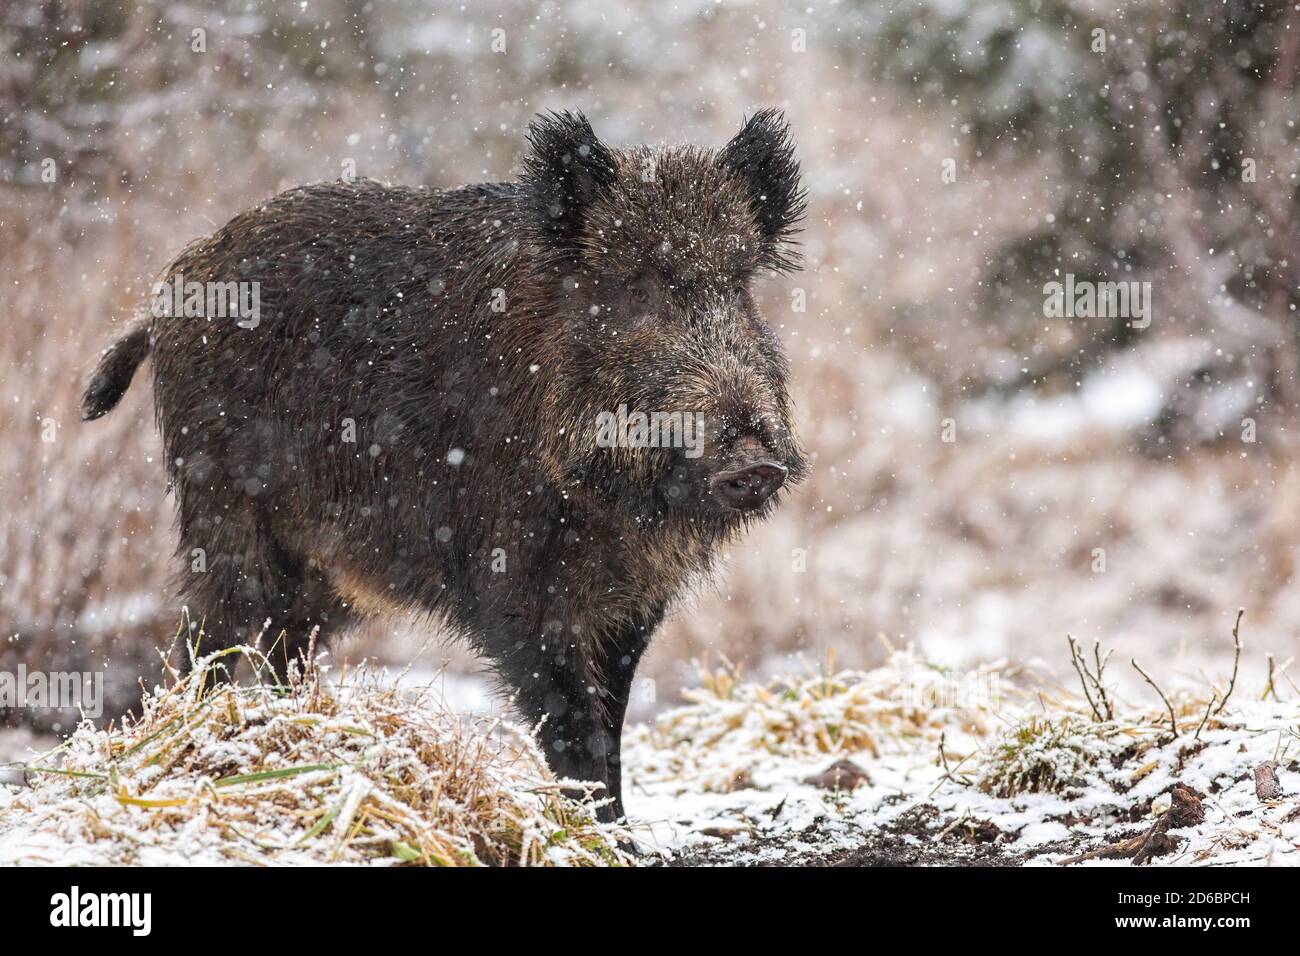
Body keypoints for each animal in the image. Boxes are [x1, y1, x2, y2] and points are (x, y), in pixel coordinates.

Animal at [82, 109, 807, 822]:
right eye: (638, 288)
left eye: (740, 287)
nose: (754, 463)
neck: (618, 506)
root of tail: (163, 304)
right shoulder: (515, 581)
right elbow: (571, 720)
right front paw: (597, 837)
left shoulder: (636, 601)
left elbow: (614, 718)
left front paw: (624, 834)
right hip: (223, 510)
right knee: (208, 636)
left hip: (325, 570)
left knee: (281, 649)